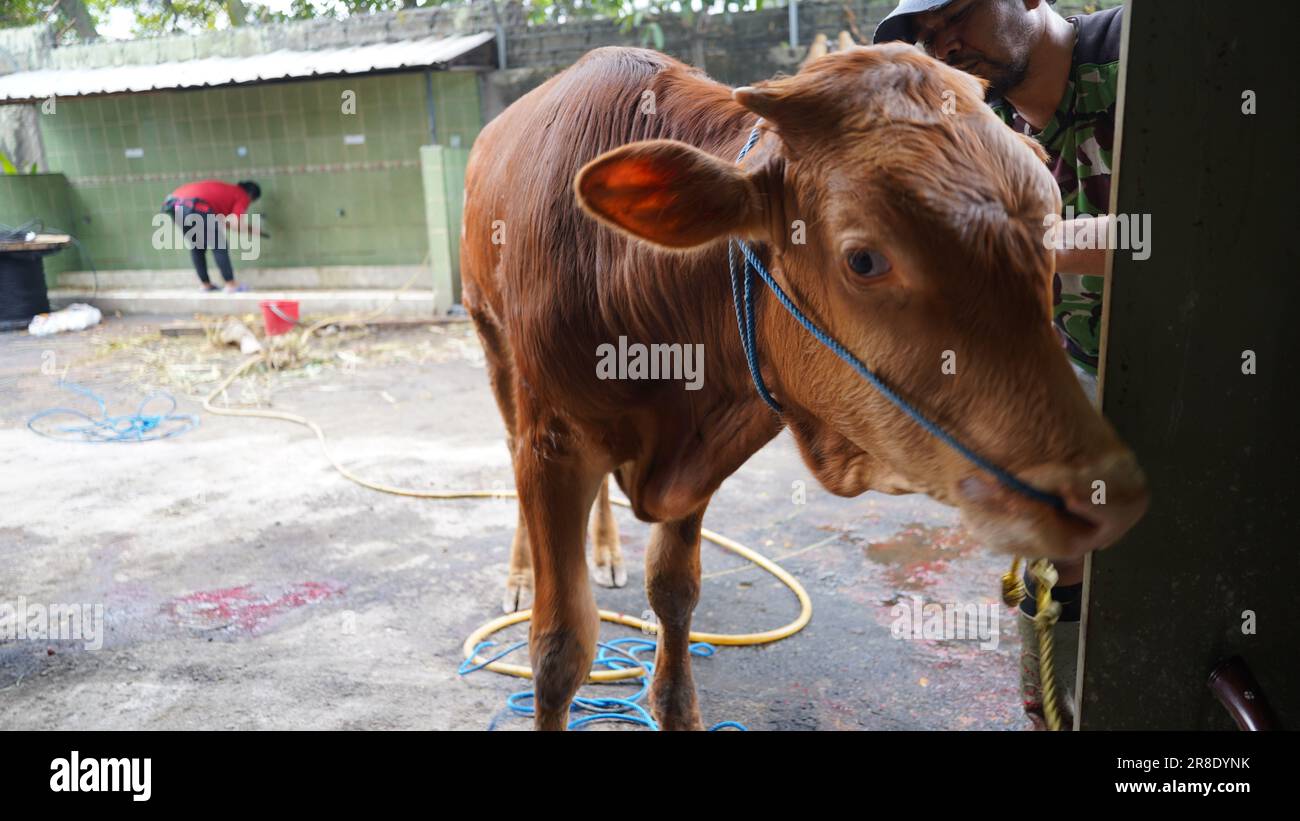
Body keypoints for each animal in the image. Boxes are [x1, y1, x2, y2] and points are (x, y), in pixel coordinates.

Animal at [460, 44, 1149, 730]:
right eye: (864, 260)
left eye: (1049, 234)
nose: (1105, 490)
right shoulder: (554, 442)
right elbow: (559, 650)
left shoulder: (700, 458)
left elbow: (675, 592)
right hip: (492, 347)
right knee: (508, 445)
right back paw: (522, 572)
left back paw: (605, 552)